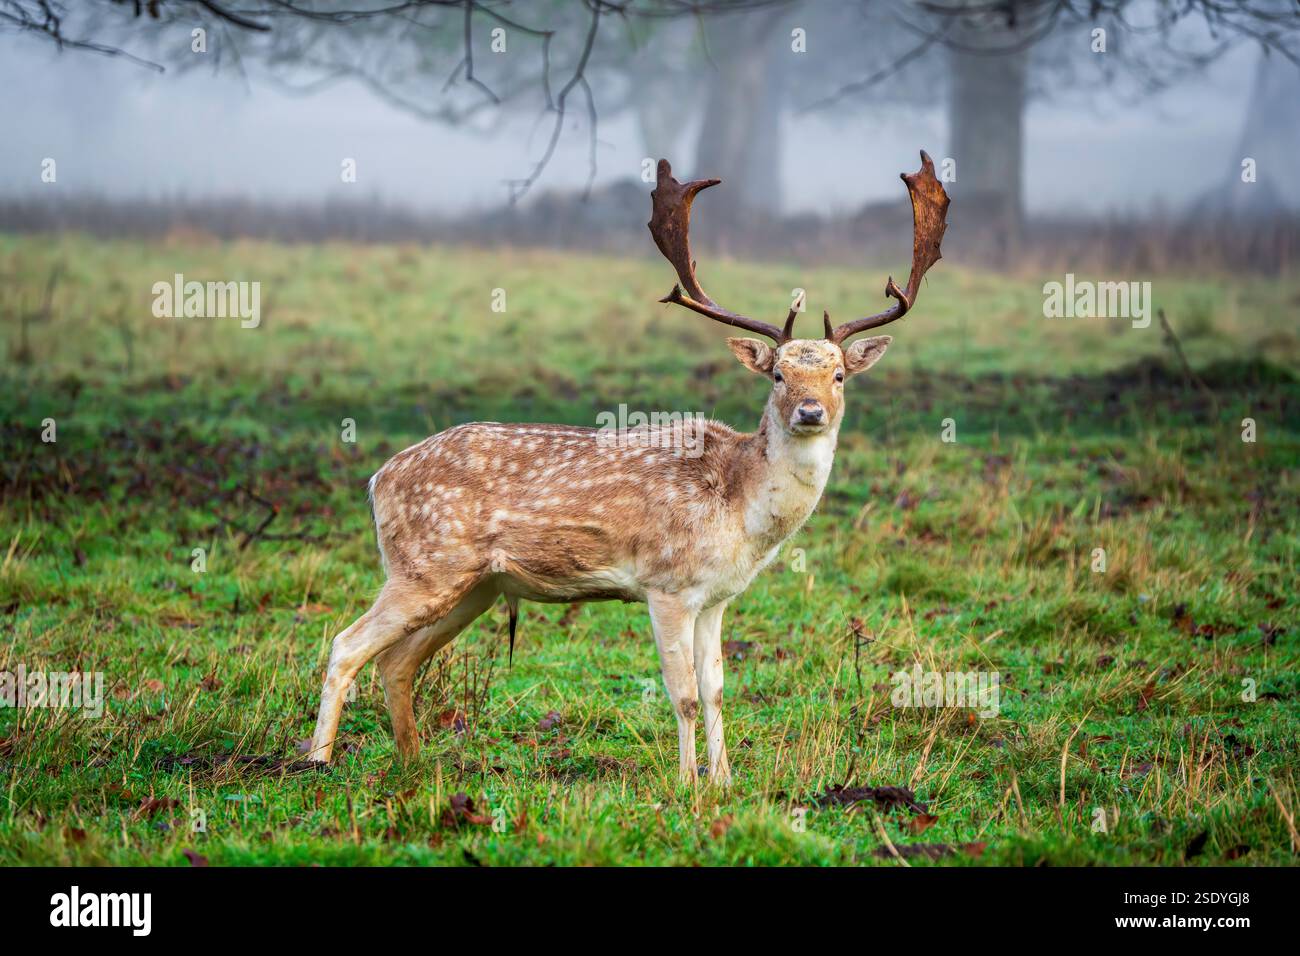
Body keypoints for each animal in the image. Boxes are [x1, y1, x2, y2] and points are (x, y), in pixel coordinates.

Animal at [308, 151, 949, 785]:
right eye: (777, 375)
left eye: (839, 374)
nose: (810, 411)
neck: (740, 509)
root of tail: (377, 480)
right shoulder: (666, 585)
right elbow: (683, 694)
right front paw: (689, 785)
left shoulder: (716, 598)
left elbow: (717, 691)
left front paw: (724, 783)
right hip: (424, 564)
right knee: (344, 645)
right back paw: (315, 763)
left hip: (475, 585)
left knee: (395, 661)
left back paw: (413, 765)